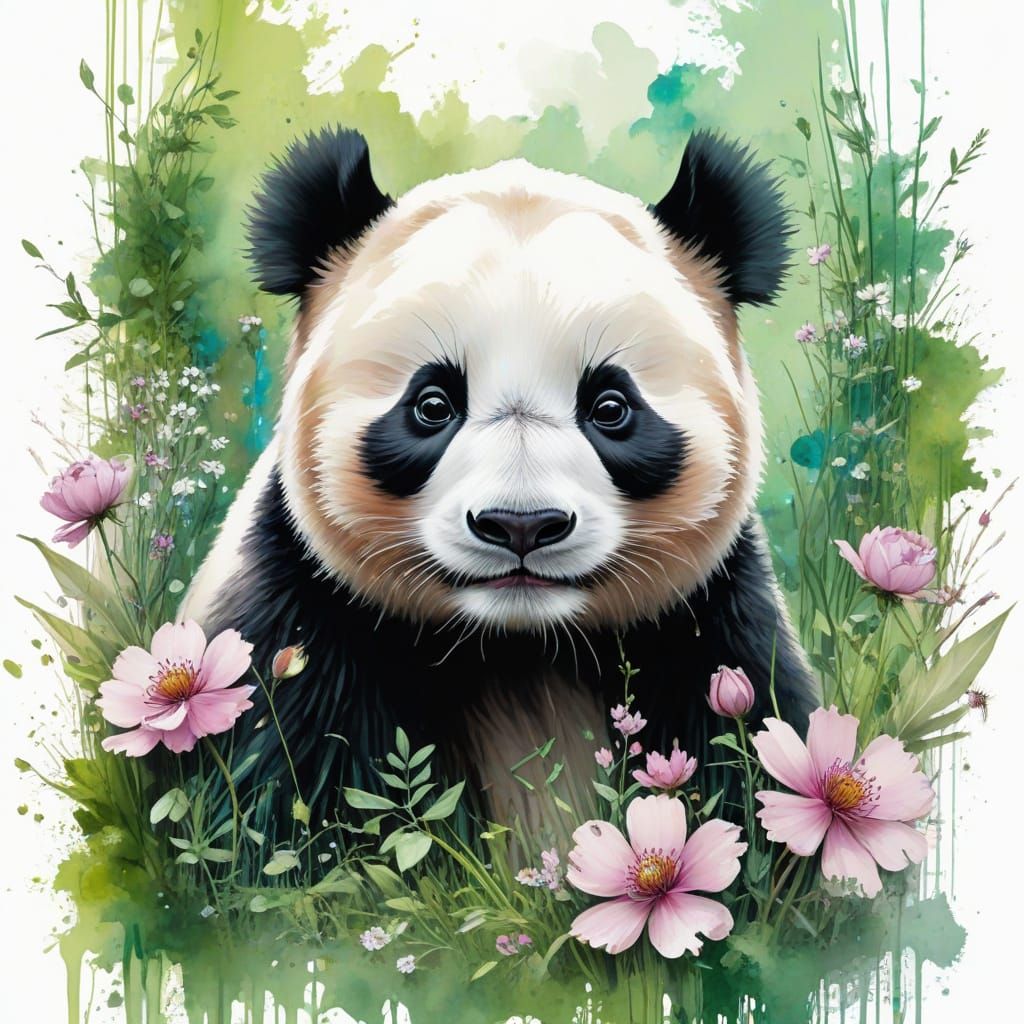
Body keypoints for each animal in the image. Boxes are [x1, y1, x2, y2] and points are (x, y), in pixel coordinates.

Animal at [182, 126, 819, 835]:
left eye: (611, 407)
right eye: (432, 404)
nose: (521, 525)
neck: (517, 649)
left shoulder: (712, 624)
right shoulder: (294, 624)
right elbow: (281, 800)